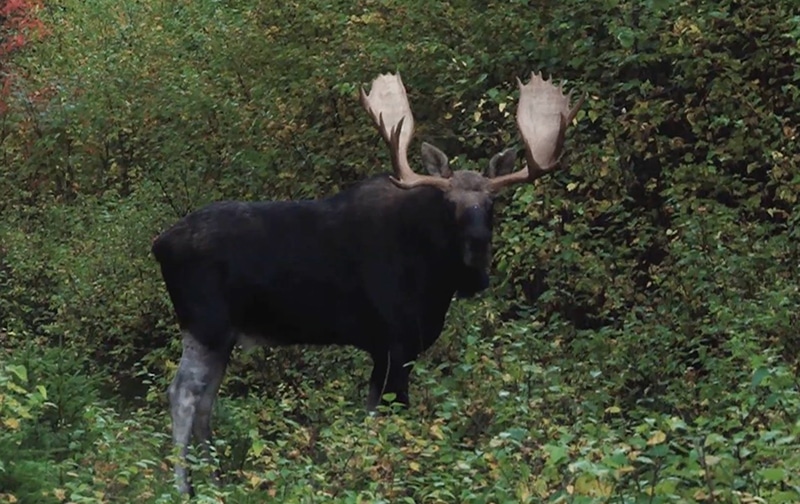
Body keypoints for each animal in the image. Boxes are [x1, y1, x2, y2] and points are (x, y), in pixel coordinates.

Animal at [151, 70, 584, 495]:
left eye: (492, 204)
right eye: (450, 205)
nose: (477, 250)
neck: (435, 279)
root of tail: (160, 245)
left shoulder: (382, 347)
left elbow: (372, 415)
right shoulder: (396, 340)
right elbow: (394, 413)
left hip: (223, 336)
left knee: (206, 401)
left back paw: (216, 484)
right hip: (206, 324)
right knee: (183, 395)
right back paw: (184, 489)